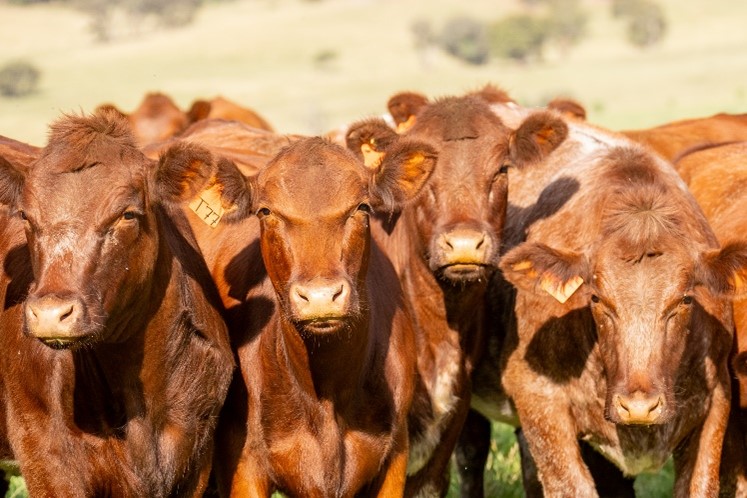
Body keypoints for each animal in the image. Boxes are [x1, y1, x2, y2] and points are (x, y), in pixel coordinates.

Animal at [180, 135, 437, 497]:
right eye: (266, 211)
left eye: (362, 207)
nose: (320, 297)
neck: (327, 392)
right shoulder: (243, 461)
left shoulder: (396, 453)